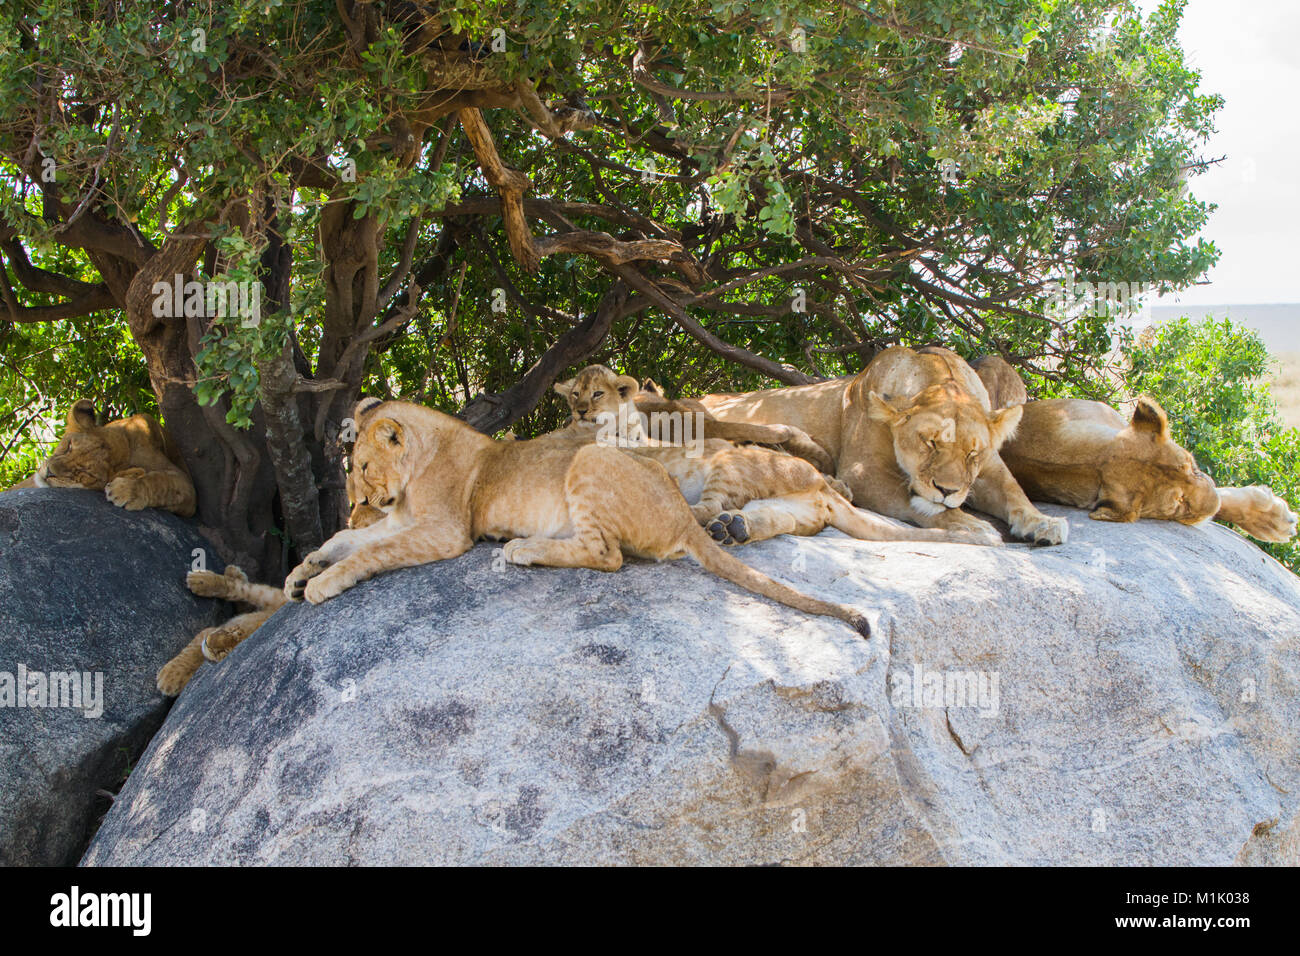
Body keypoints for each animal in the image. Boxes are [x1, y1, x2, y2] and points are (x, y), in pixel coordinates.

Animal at [8, 399, 195, 517]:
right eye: (69, 447)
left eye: (84, 473)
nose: (48, 472)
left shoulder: (188, 489)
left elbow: (160, 482)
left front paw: (127, 490)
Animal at [283, 398, 873, 636]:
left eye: (362, 467)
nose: (359, 499)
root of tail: (684, 518)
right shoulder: (403, 520)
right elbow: (341, 542)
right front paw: (300, 574)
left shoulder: (445, 531)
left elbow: (371, 552)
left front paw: (324, 584)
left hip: (589, 459)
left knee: (606, 556)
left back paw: (522, 549)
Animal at [553, 365, 998, 548]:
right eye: (576, 396)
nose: (581, 411)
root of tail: (818, 495)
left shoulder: (699, 421)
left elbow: (766, 431)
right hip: (787, 507)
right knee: (770, 515)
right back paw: (733, 527)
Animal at [695, 346, 1069, 545]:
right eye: (930, 443)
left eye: (972, 453)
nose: (947, 490)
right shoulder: (864, 472)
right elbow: (922, 506)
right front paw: (970, 525)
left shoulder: (989, 466)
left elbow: (1013, 490)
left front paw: (1042, 523)